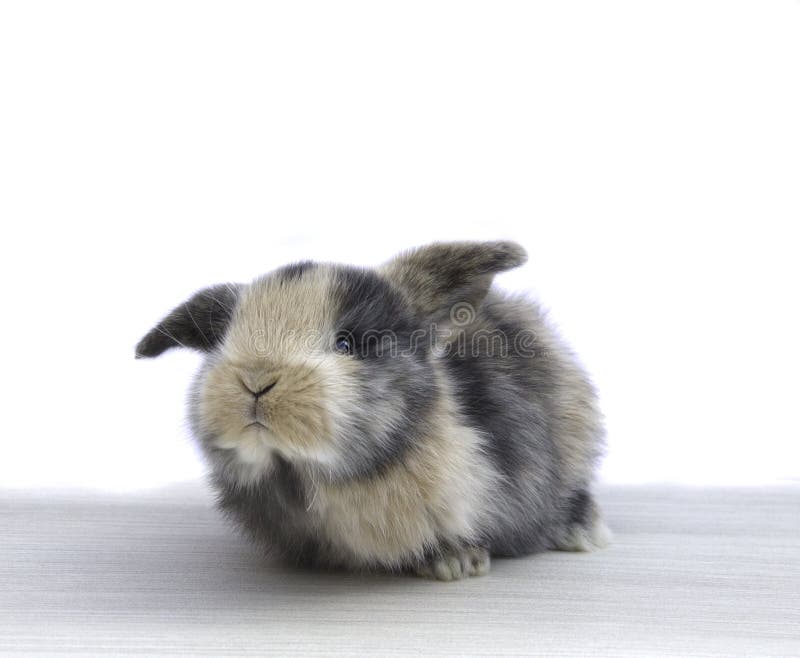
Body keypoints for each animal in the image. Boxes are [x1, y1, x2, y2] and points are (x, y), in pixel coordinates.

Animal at [136, 241, 609, 581]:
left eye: (346, 342)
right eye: (225, 342)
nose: (257, 380)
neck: (313, 477)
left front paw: (457, 564)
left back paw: (582, 533)